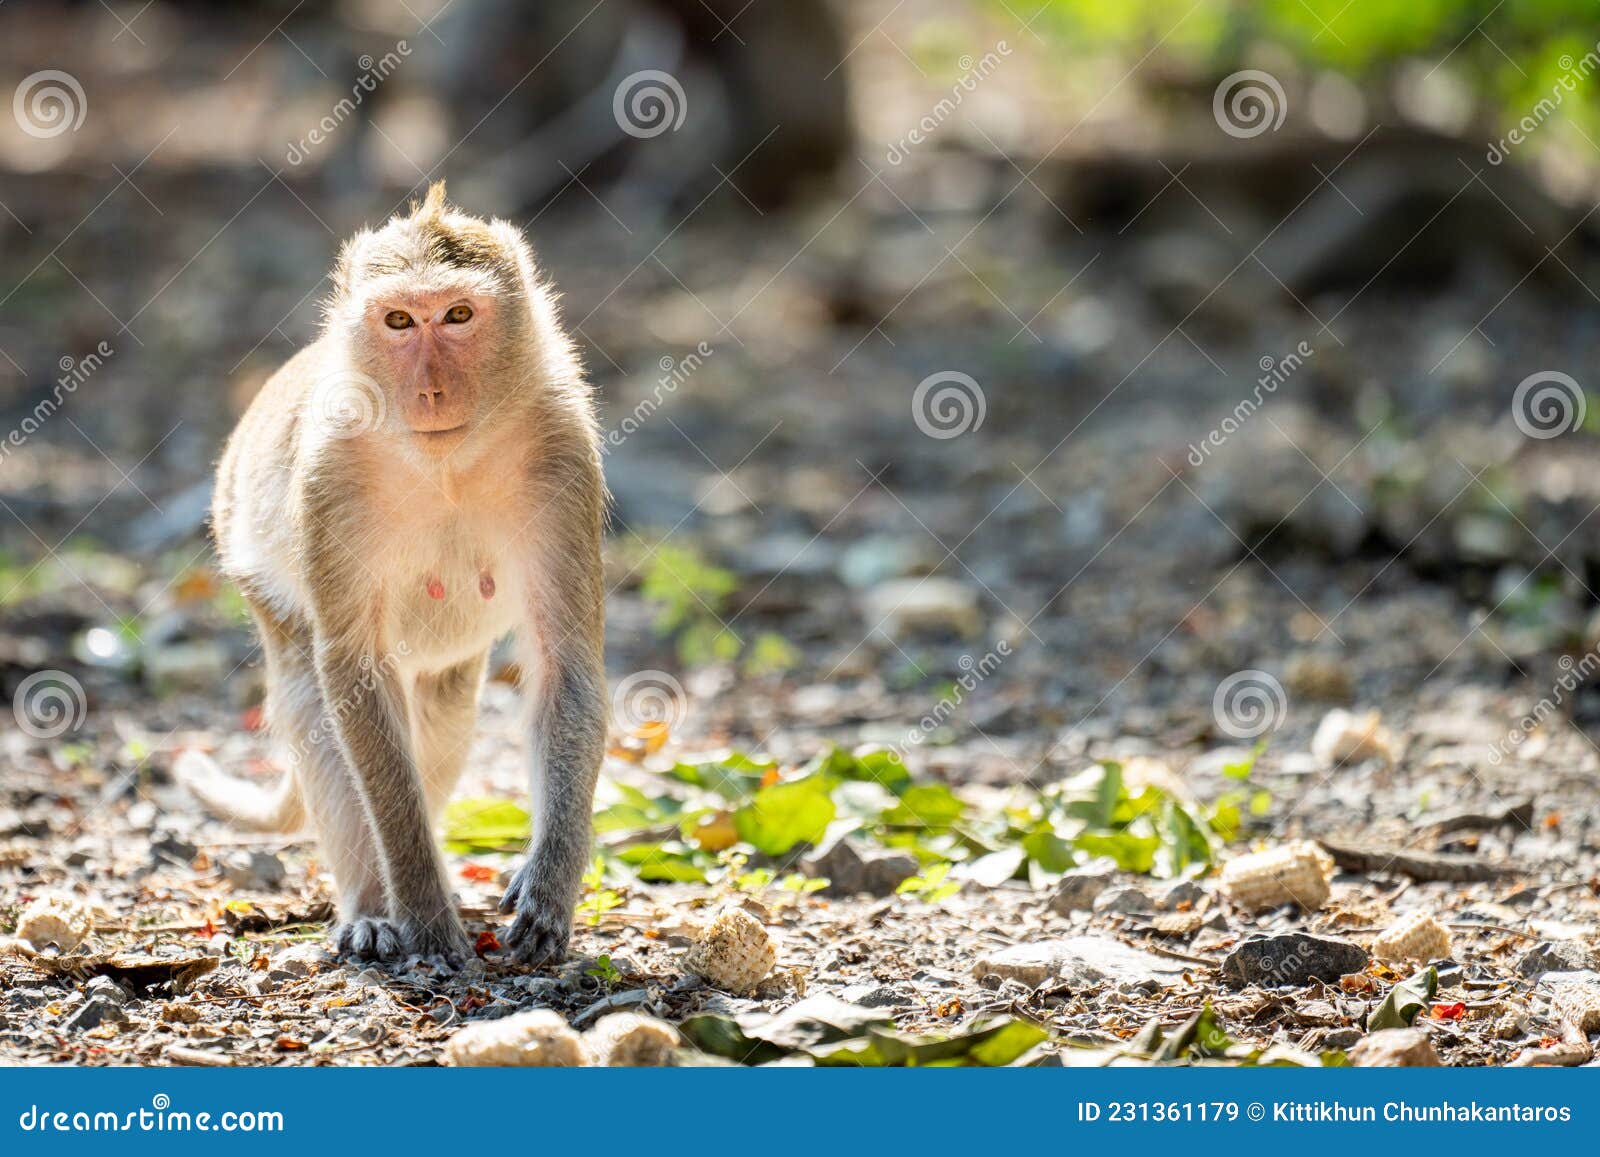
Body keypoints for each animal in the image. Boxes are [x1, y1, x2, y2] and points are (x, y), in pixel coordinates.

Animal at [176, 183, 607, 968]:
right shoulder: (330, 472)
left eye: (459, 315)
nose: (431, 389)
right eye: (400, 321)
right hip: (251, 569)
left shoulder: (564, 454)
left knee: (443, 707)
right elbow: (354, 676)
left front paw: (548, 887)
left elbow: (565, 669)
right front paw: (425, 912)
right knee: (314, 698)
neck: (445, 465)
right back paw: (373, 907)